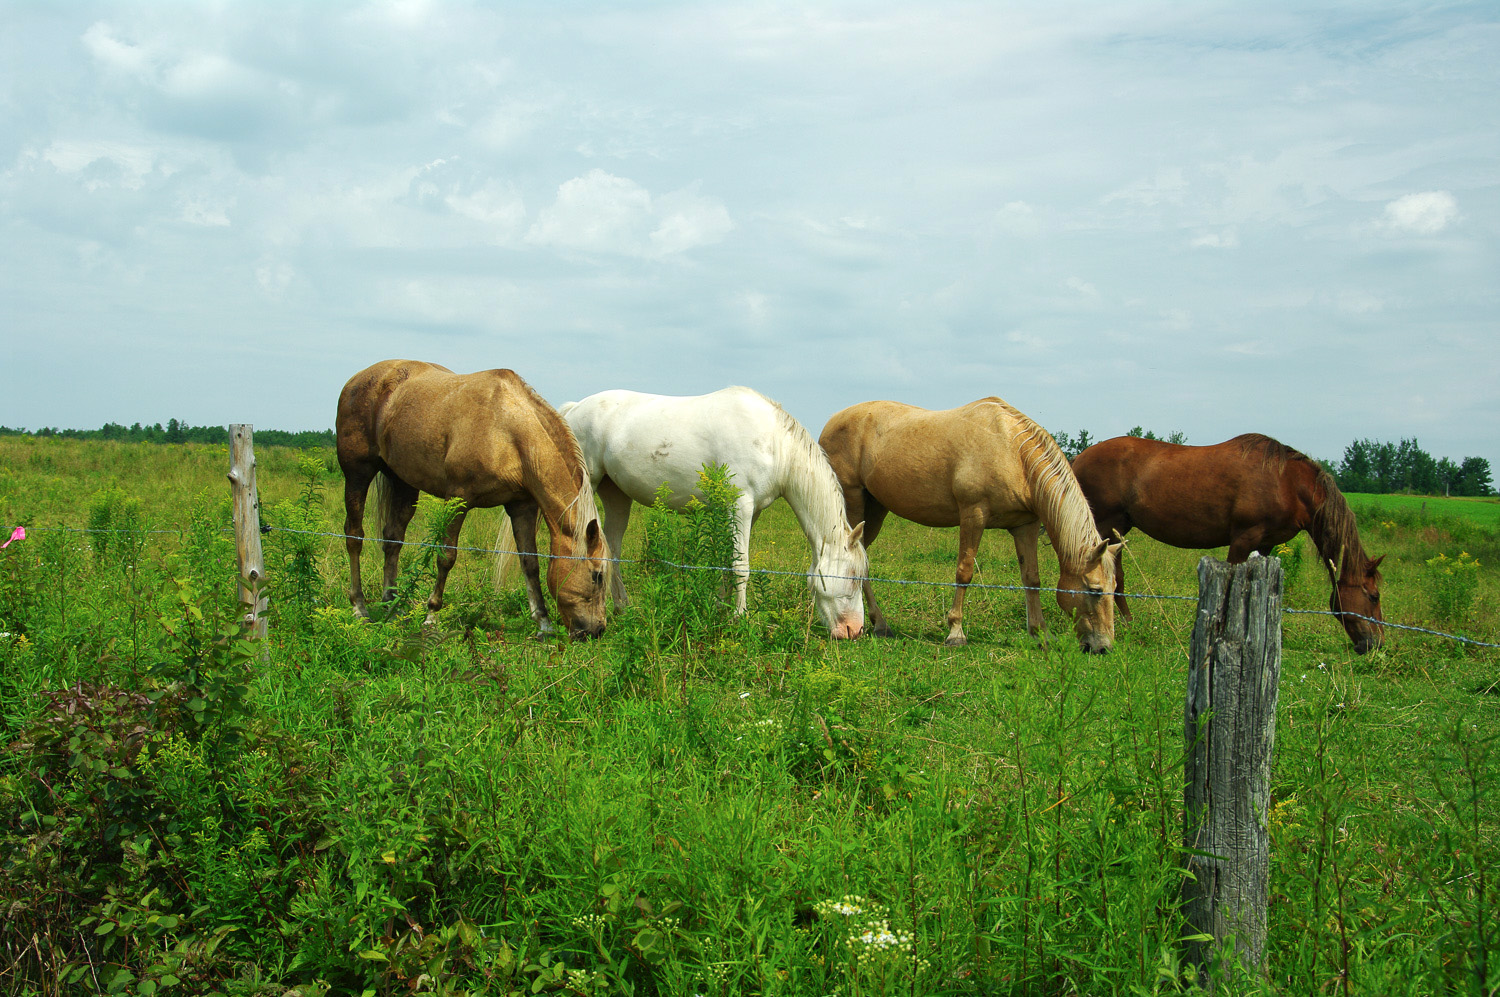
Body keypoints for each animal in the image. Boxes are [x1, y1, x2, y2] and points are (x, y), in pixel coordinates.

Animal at [335, 360, 609, 639]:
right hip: (358, 473)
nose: (597, 630)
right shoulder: (458, 499)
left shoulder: (521, 506)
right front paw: (431, 617)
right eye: (597, 576)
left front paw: (543, 623)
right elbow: (446, 557)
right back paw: (360, 608)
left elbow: (530, 562)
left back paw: (392, 607)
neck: (507, 431)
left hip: (403, 483)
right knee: (354, 536)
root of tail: (358, 379)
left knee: (393, 540)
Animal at [502, 386, 868, 639]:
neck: (773, 443)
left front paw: (721, 610)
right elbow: (741, 566)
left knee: (612, 548)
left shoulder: (746, 512)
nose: (854, 631)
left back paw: (623, 607)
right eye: (851, 577)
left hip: (616, 495)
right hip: (586, 486)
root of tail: (575, 408)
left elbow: (727, 562)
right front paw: (739, 618)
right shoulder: (741, 504)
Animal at [818, 398, 1121, 652]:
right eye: (1094, 590)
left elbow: (1031, 578)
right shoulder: (973, 515)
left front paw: (1041, 634)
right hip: (854, 500)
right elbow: (964, 572)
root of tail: (831, 421)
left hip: (877, 508)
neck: (1012, 451)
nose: (1103, 647)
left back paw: (879, 624)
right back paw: (875, 623)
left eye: (1115, 587)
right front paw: (956, 632)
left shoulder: (1026, 526)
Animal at [1069, 433, 1384, 654]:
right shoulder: (1244, 538)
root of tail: (1080, 458)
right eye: (1374, 596)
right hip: (1106, 525)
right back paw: (1125, 623)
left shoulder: (1265, 546)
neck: (1287, 482)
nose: (1377, 644)